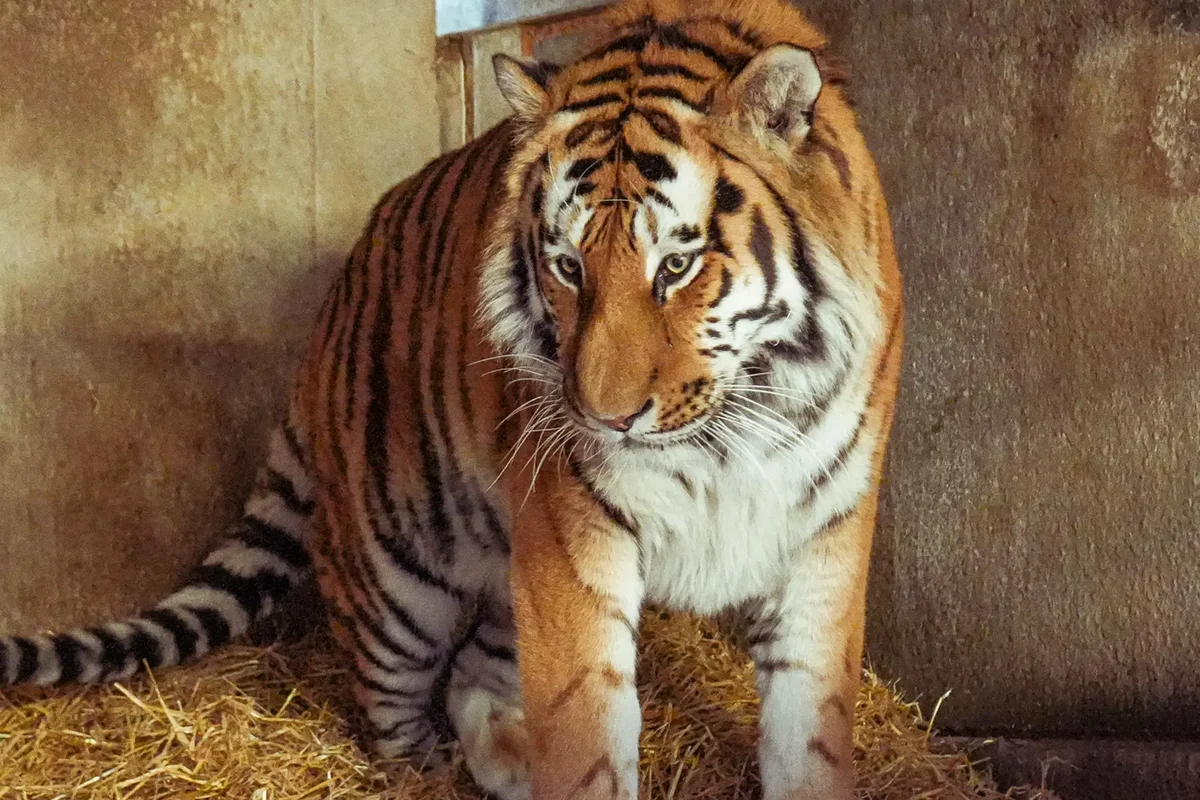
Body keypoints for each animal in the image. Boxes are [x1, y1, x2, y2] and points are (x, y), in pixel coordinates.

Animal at [0, 0, 903, 798]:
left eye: (676, 267)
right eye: (568, 267)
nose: (603, 419)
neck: (733, 430)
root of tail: (325, 321)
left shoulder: (823, 534)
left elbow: (810, 737)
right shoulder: (572, 542)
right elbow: (586, 743)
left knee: (474, 670)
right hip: (399, 572)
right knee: (390, 702)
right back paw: (431, 767)